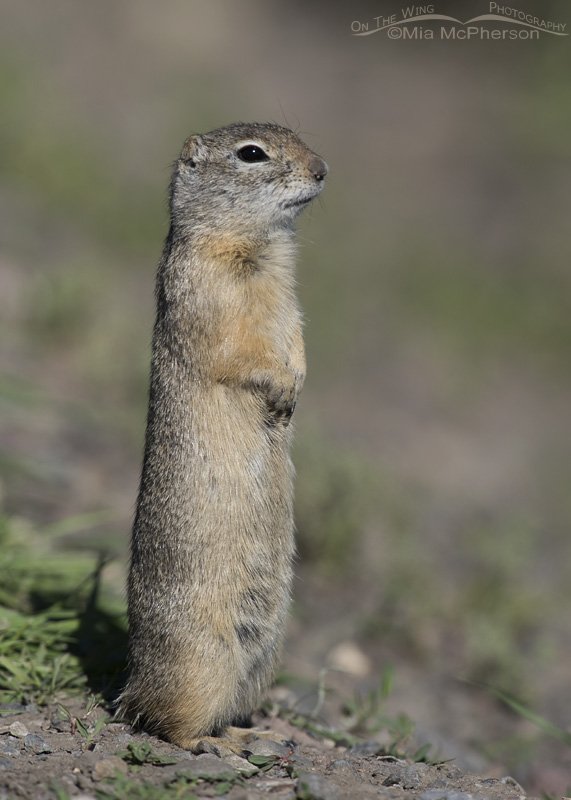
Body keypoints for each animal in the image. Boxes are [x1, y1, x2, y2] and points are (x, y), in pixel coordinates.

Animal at [118, 122, 327, 754]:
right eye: (251, 154)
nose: (323, 169)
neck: (258, 249)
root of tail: (131, 684)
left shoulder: (290, 303)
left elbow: (297, 339)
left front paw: (297, 385)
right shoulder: (210, 294)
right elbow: (240, 352)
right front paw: (282, 390)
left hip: (262, 656)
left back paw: (253, 734)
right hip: (201, 659)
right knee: (165, 724)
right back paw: (219, 747)